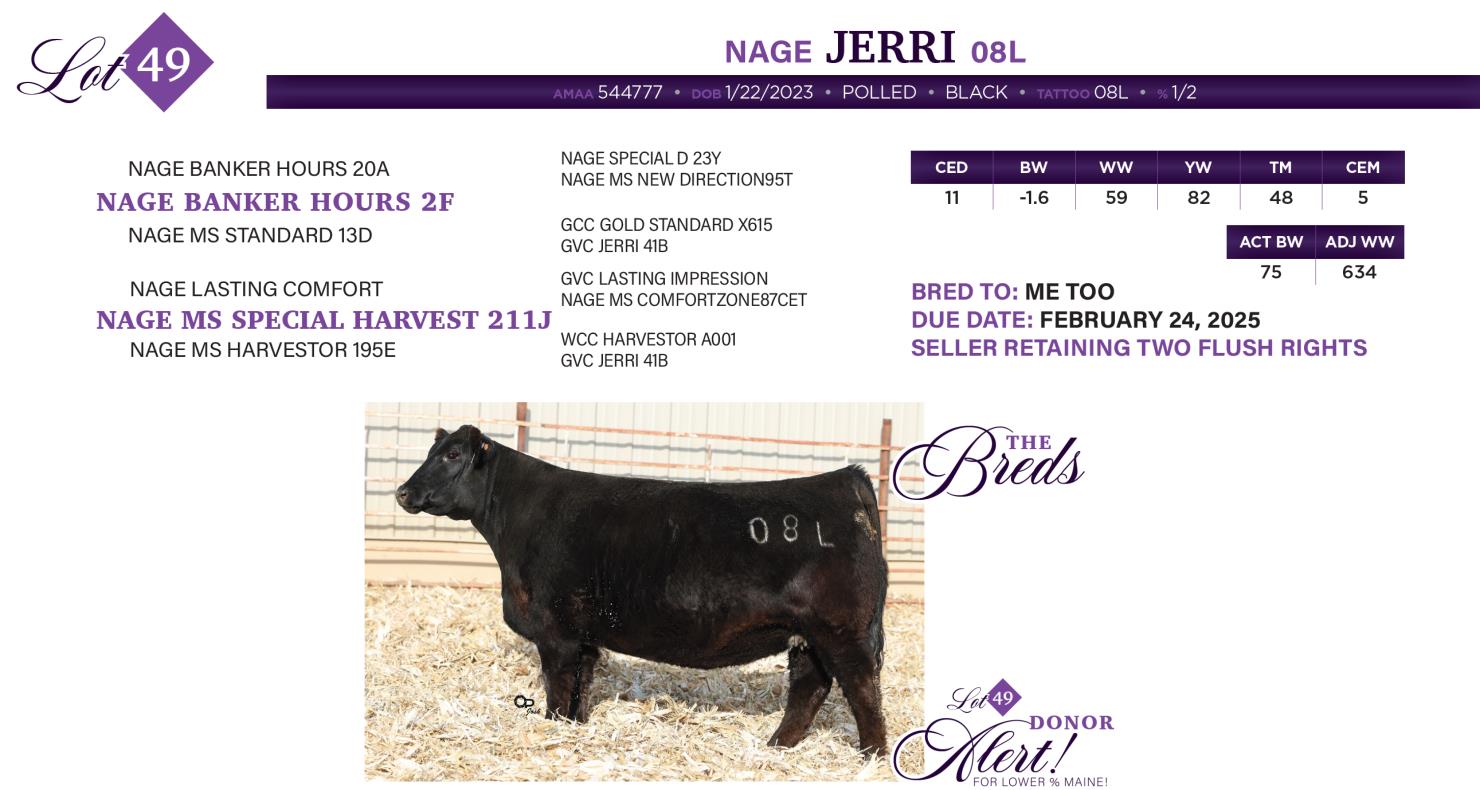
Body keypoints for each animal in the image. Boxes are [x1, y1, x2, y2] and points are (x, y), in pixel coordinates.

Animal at [395, 424, 890, 755]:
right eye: (433, 450)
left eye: (453, 454)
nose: (402, 492)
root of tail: (845, 479)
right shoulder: (584, 636)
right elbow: (580, 688)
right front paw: (575, 729)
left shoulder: (556, 632)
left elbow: (558, 688)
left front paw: (553, 729)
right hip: (806, 635)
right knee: (810, 689)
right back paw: (777, 746)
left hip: (841, 630)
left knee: (862, 687)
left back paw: (872, 755)